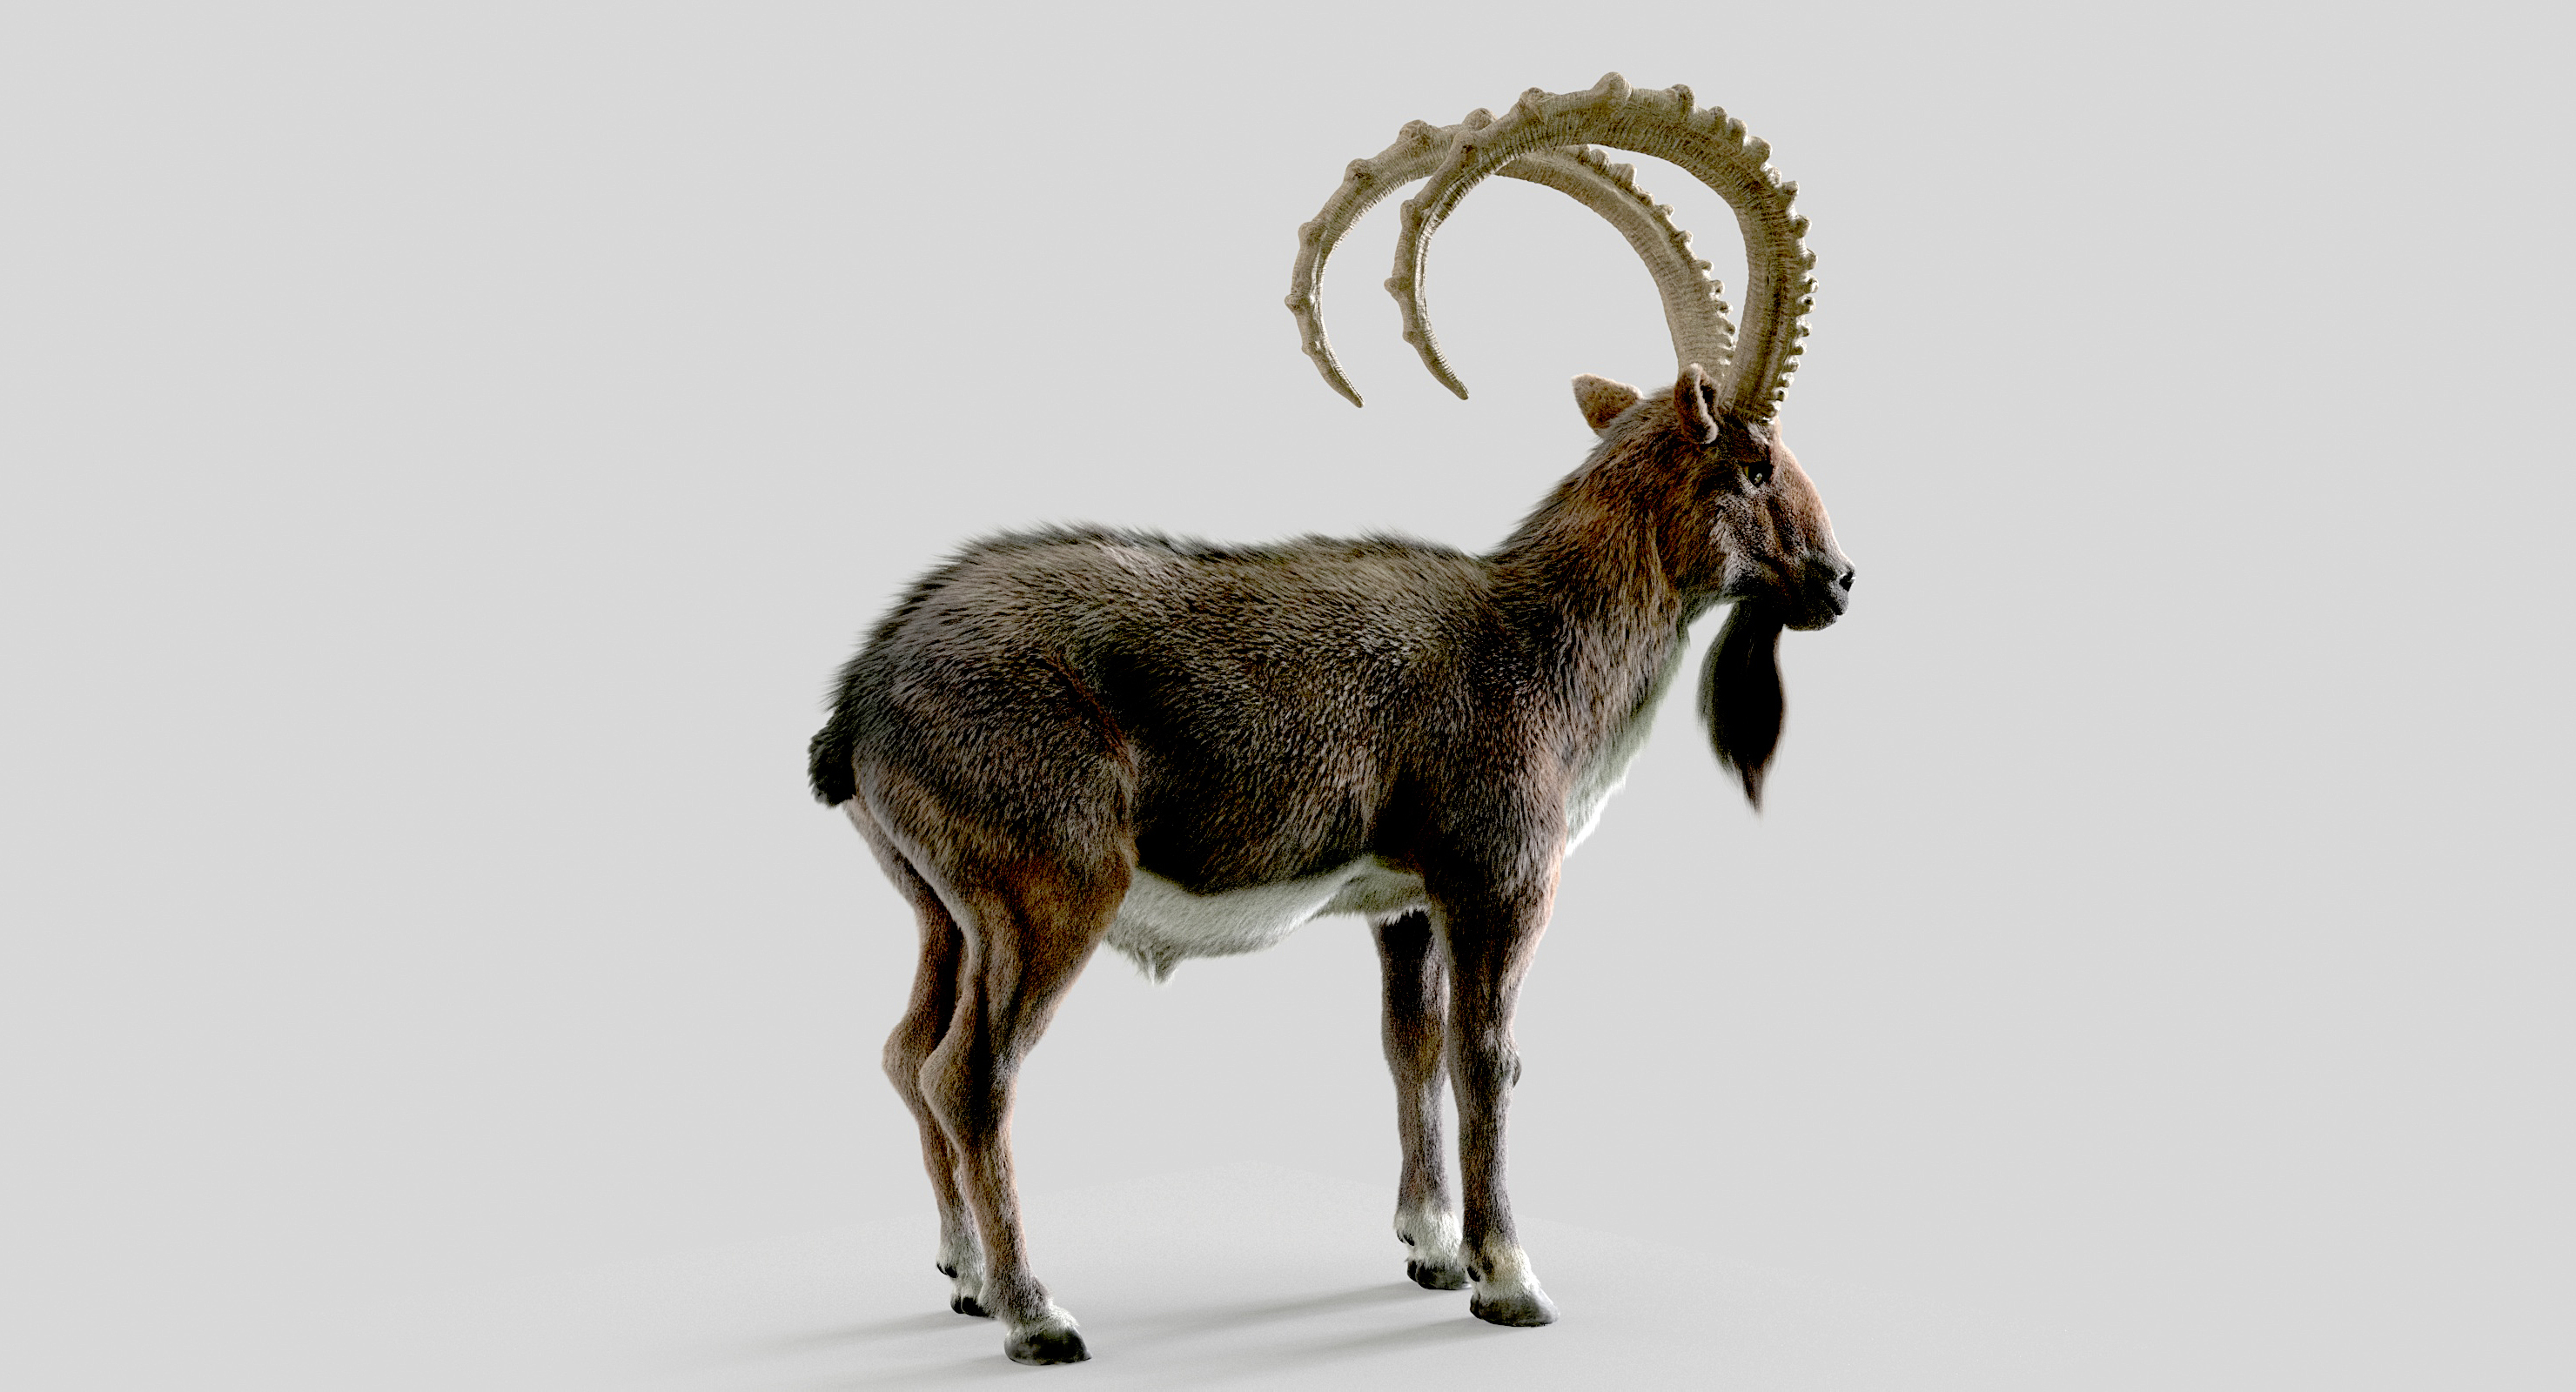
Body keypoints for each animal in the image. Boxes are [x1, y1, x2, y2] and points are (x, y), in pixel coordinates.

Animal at [808, 74, 1854, 1366]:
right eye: (1754, 464)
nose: (1840, 580)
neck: (1538, 634)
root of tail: (859, 700)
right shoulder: (1499, 878)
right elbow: (1486, 1058)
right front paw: (1510, 1279)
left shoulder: (1402, 901)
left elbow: (1410, 1047)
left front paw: (1432, 1247)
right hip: (1044, 889)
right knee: (970, 1073)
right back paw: (1034, 1312)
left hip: (940, 909)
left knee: (908, 1052)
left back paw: (961, 1274)